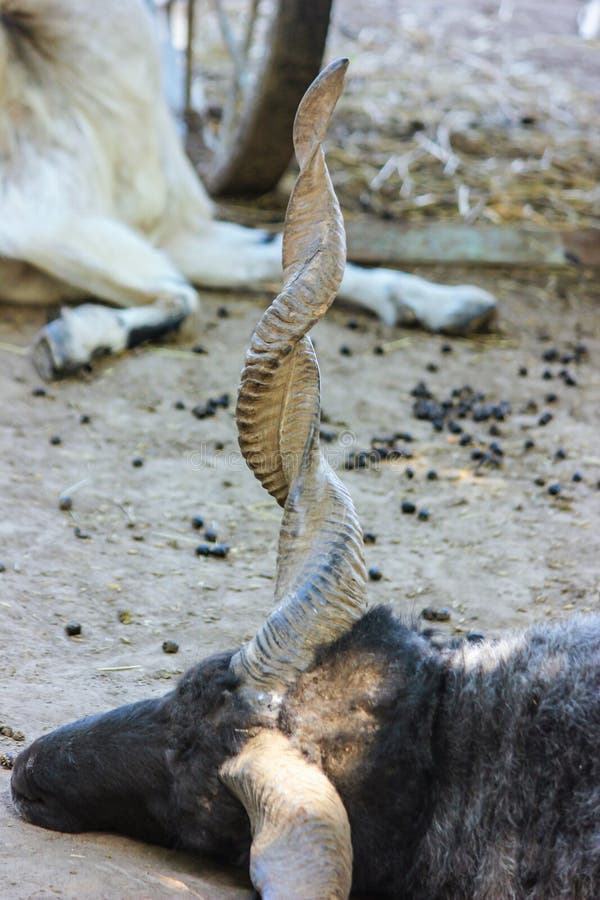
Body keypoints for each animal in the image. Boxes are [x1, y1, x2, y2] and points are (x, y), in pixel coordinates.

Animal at [0, 0, 496, 380]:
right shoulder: (45, 224)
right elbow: (187, 299)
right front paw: (72, 339)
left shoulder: (168, 233)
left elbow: (293, 263)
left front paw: (450, 302)